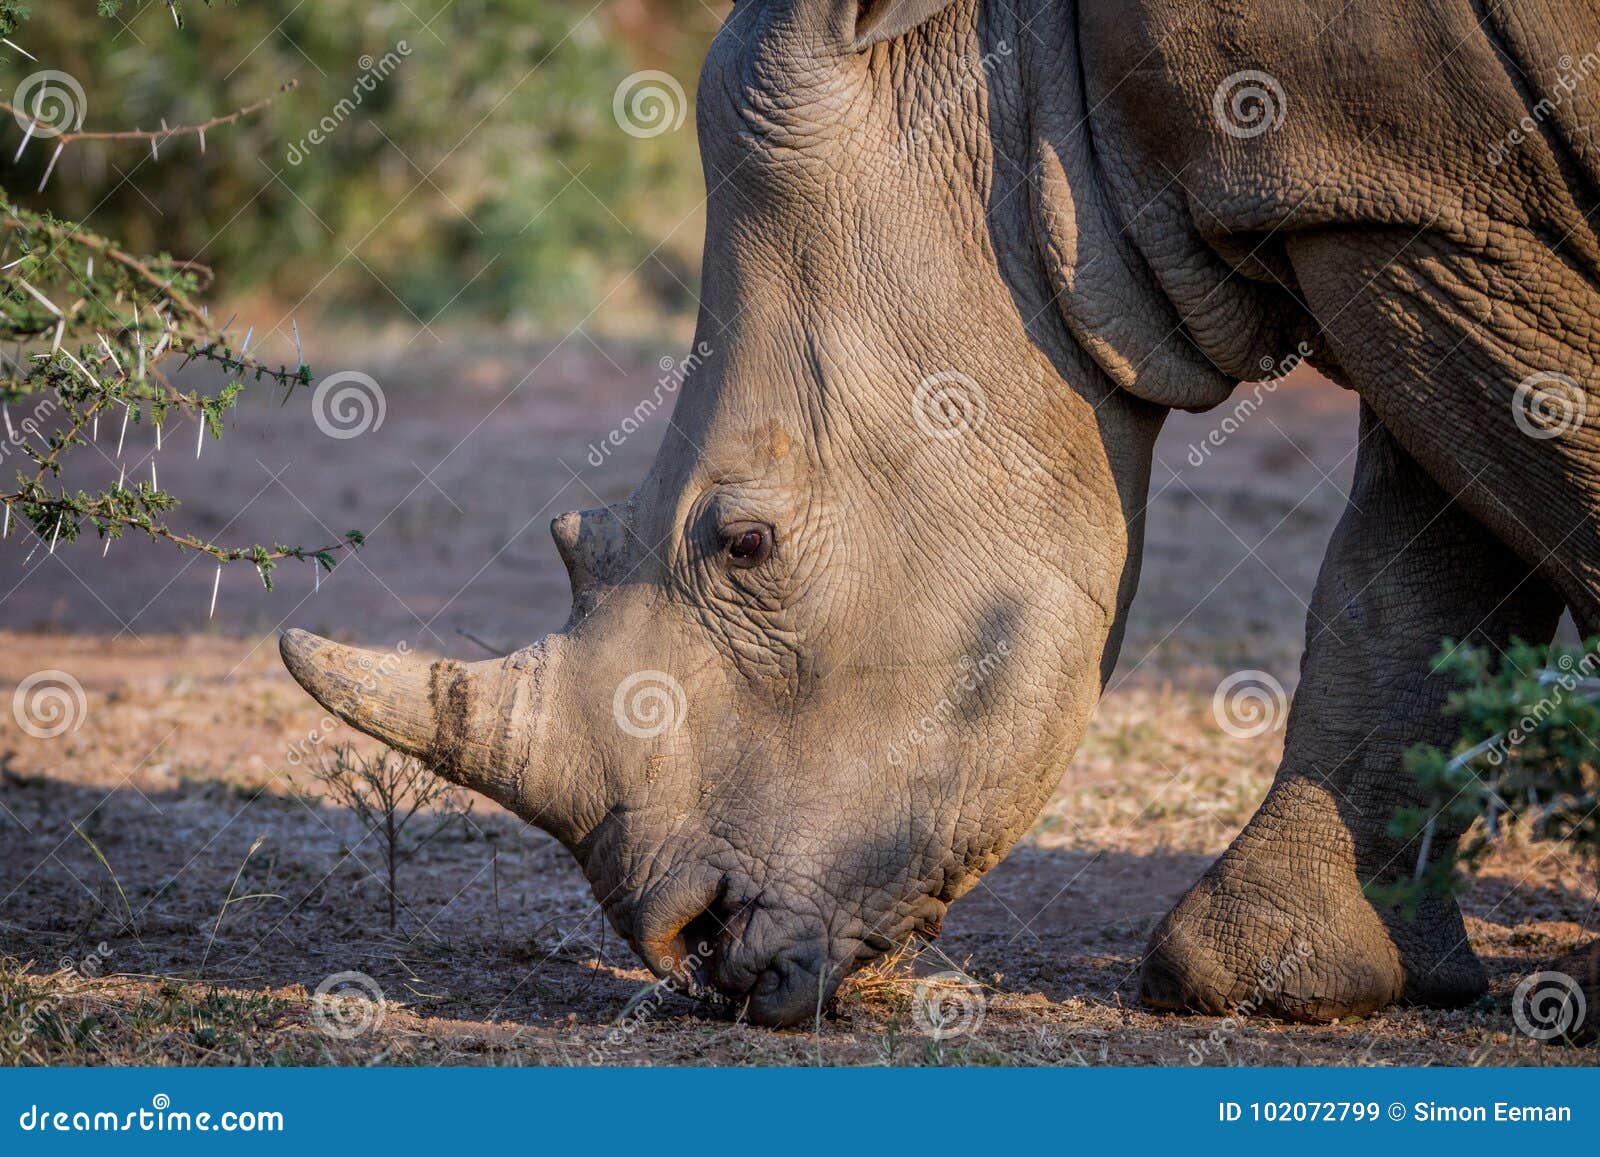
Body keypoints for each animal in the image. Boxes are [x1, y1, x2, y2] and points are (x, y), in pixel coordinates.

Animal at [282, 0, 1600, 1027]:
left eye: (745, 544)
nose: (694, 947)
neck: (1023, 97)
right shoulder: (1403, 204)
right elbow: (1415, 574)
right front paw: (1290, 976)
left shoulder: (1406, 198)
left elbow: (1534, 480)